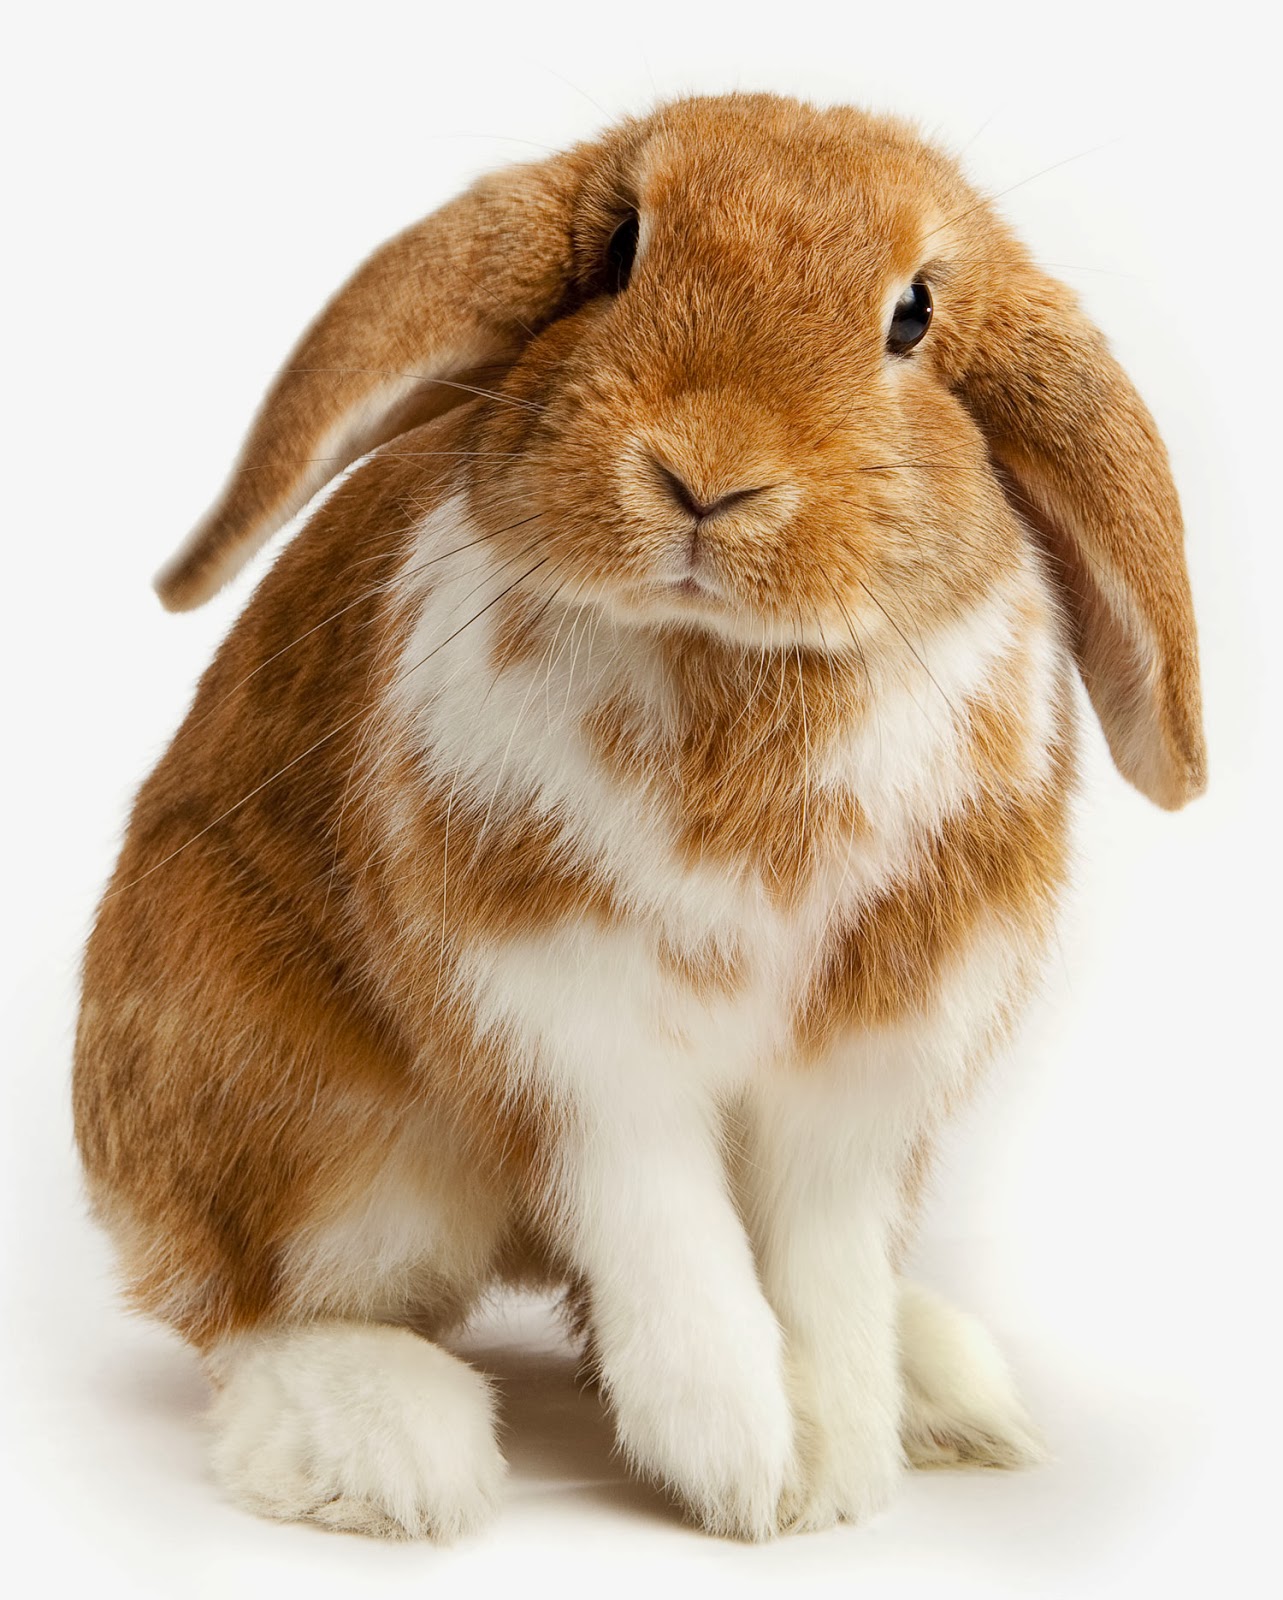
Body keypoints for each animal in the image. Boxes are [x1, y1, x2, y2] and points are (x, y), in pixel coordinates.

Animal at [72, 91, 1205, 1542]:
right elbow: (671, 1241)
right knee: (256, 1308)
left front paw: (831, 1466)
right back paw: (383, 1445)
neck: (724, 659)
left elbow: (820, 1271)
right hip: (310, 1120)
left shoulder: (867, 1069)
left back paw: (941, 1389)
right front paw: (742, 1461)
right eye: (617, 250)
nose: (707, 475)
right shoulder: (574, 1038)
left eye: (910, 317)